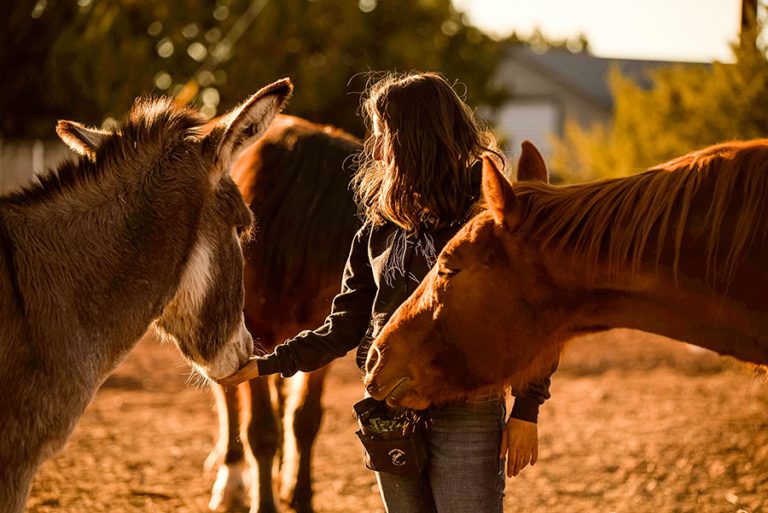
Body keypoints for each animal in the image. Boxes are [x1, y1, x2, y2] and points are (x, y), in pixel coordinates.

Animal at [206, 115, 361, 513]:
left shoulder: (323, 337)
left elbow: (305, 420)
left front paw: (301, 496)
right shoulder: (252, 337)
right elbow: (261, 428)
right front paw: (264, 501)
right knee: (229, 401)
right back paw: (232, 478)